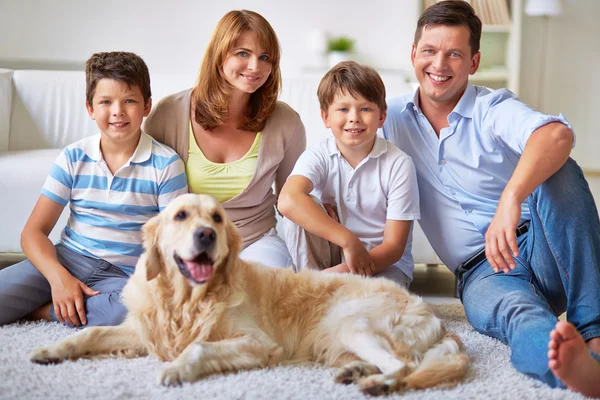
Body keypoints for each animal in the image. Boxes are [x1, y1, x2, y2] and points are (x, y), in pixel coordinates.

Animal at [30, 193, 472, 394]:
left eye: (217, 218)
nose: (206, 235)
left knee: (404, 365)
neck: (188, 301)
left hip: (352, 323)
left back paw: (376, 383)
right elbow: (91, 332)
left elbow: (199, 347)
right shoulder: (147, 330)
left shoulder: (259, 343)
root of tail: (434, 316)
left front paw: (178, 369)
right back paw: (356, 372)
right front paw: (51, 350)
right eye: (181, 215)